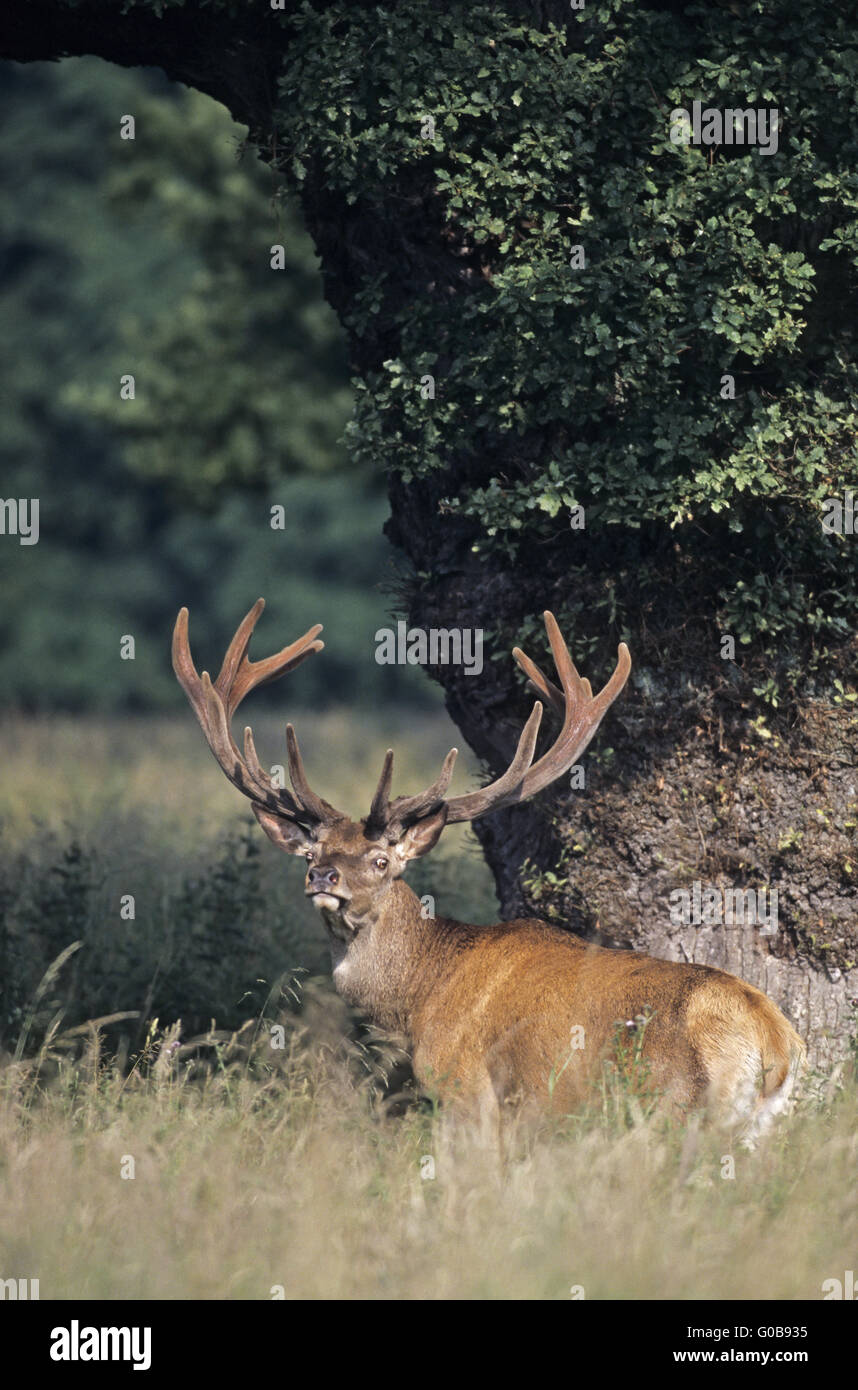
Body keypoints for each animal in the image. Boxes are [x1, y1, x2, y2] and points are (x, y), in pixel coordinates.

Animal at [172, 599, 805, 1141]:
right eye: (312, 853)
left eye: (381, 861)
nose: (324, 878)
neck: (419, 999)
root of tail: (774, 1043)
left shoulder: (467, 1088)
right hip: (760, 1127)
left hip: (669, 1108)